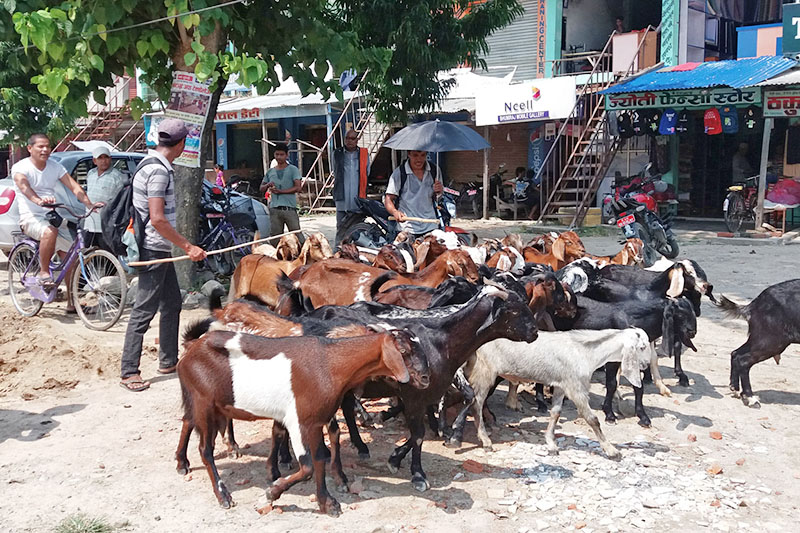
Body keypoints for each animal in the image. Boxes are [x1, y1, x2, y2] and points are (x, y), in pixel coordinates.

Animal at [177, 326, 427, 515]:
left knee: (188, 421)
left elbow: (319, 459)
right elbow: (307, 466)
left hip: (207, 403)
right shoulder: (297, 420)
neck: (330, 364)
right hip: (203, 402)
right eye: (403, 350)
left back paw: (181, 462)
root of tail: (190, 350)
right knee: (205, 449)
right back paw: (223, 495)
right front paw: (270, 493)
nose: (426, 378)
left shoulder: (315, 421)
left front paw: (327, 502)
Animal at [467, 328, 651, 457]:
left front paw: (551, 444)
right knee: (477, 403)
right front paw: (611, 449)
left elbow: (556, 413)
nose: (646, 364)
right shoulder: (576, 388)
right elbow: (592, 419)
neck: (586, 353)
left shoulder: (562, 386)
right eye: (642, 347)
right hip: (484, 371)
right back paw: (485, 440)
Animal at [718, 279, 800, 408]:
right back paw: (750, 398)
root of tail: (755, 304)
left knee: (735, 354)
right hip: (771, 342)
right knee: (743, 360)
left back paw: (735, 389)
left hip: (760, 339)